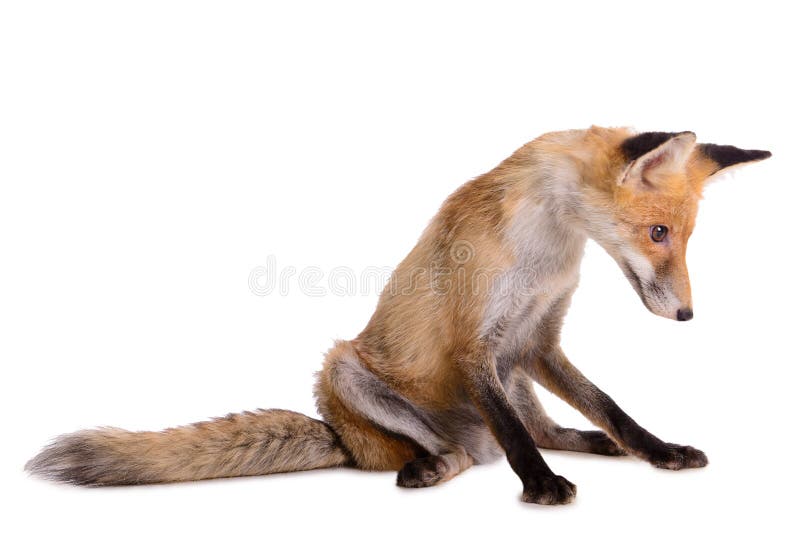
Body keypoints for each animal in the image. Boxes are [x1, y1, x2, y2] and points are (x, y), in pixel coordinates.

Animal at [26, 126, 771, 505]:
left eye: (685, 237)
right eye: (657, 234)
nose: (688, 315)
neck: (548, 251)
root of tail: (342, 438)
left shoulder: (536, 341)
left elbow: (612, 408)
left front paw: (657, 450)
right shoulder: (476, 343)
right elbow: (519, 440)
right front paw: (539, 487)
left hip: (515, 376)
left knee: (546, 430)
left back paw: (592, 447)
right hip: (347, 374)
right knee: (468, 451)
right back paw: (430, 469)